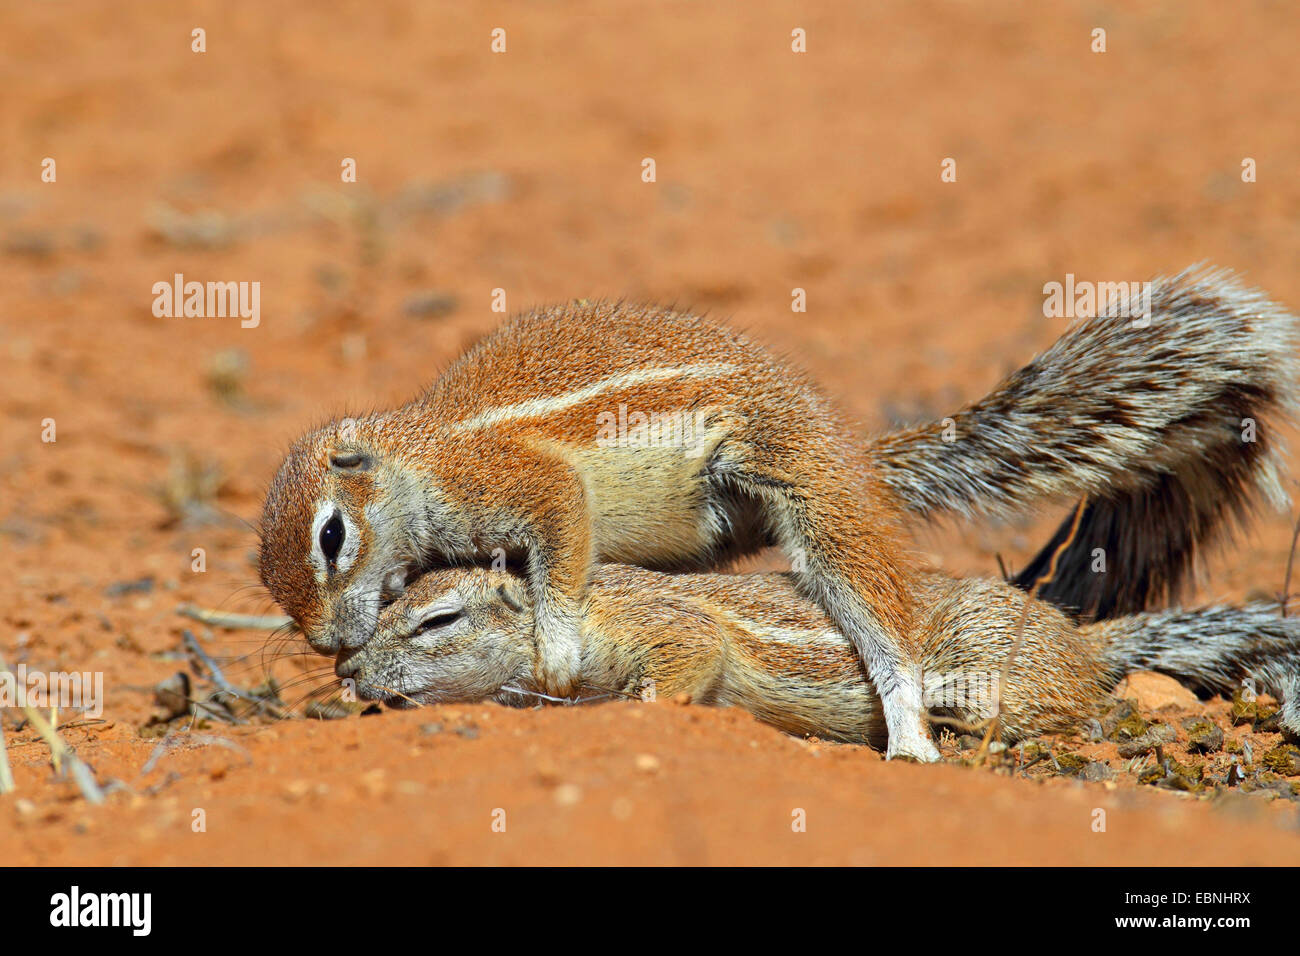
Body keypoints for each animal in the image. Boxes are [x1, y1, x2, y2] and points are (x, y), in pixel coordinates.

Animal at [260, 266, 1298, 762]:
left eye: (331, 537)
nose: (335, 659)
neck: (417, 458)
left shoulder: (521, 484)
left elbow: (569, 560)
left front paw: (556, 656)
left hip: (799, 488)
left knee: (881, 617)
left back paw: (914, 729)